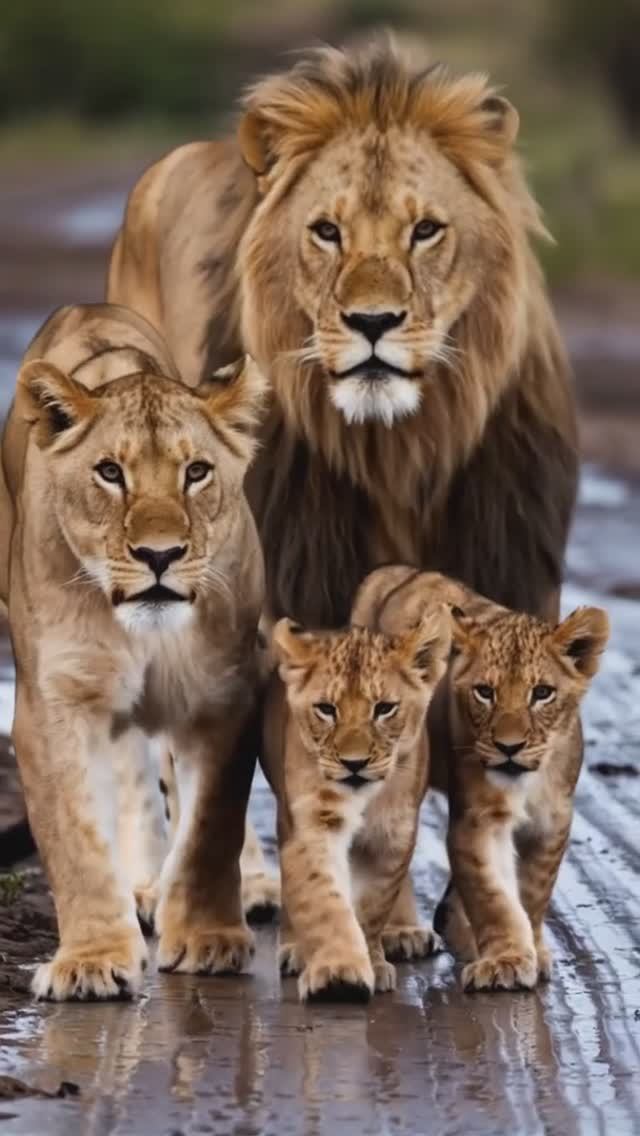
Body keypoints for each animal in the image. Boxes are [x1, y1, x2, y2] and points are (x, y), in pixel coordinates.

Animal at [0, 302, 268, 999]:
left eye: (196, 472)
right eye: (109, 472)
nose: (159, 555)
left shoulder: (225, 694)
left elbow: (211, 828)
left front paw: (207, 939)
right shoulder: (54, 704)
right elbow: (76, 837)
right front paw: (92, 960)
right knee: (132, 778)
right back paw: (144, 885)